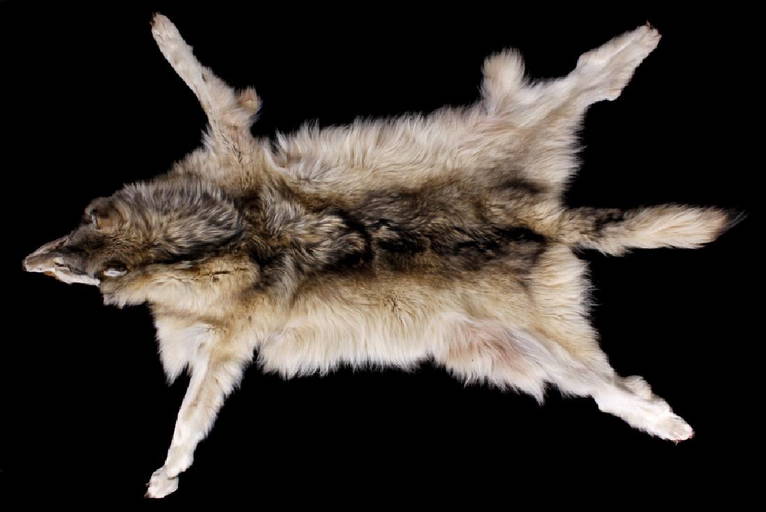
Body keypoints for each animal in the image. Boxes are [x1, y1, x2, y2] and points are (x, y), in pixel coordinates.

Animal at [23, 15, 738, 498]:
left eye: (79, 262)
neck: (209, 243)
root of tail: (541, 224)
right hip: (524, 339)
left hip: (519, 150)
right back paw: (659, 416)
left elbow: (196, 78)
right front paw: (170, 470)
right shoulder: (230, 341)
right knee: (610, 386)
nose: (30, 262)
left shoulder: (231, 148)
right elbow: (195, 412)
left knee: (591, 78)